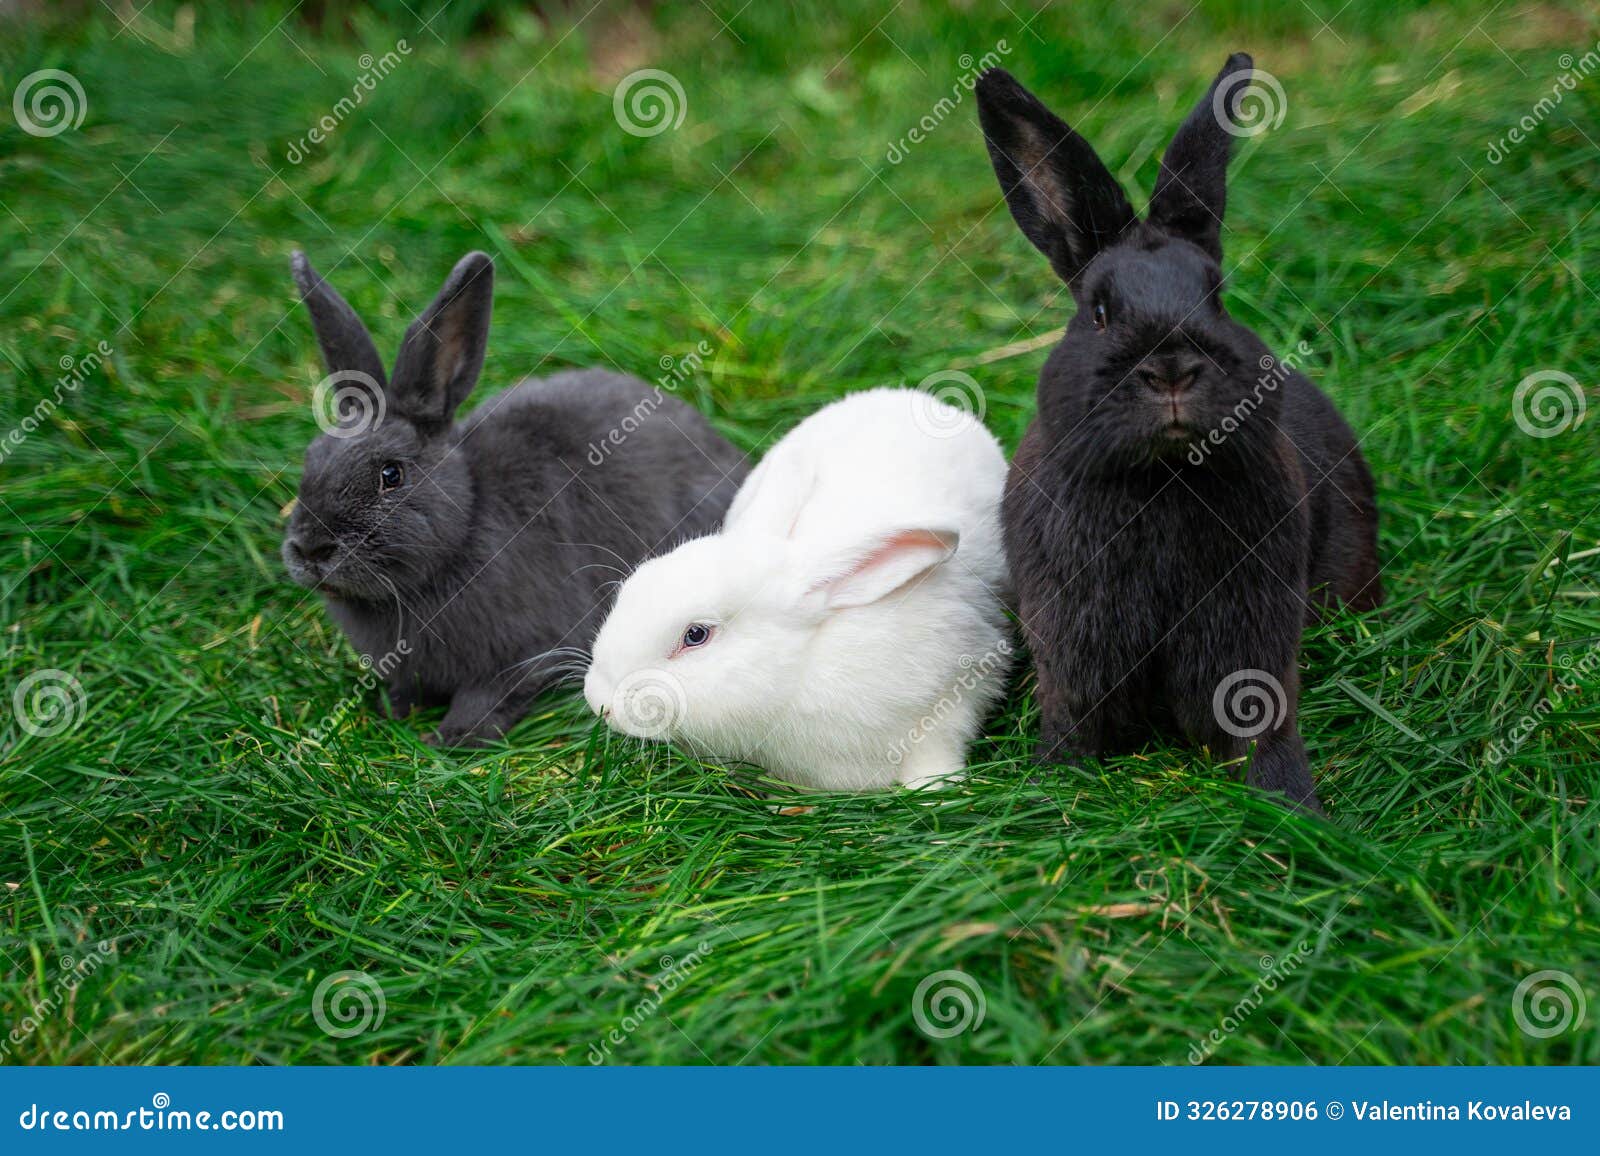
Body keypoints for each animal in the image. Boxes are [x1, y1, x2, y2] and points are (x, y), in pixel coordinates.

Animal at [281, 249, 749, 746]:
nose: (310, 548)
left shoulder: (521, 656)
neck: (462, 530)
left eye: (391, 474)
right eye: (311, 458)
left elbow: (486, 700)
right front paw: (392, 712)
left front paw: (449, 738)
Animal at [582, 388, 1014, 791]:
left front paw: (936, 792)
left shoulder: (958, 689)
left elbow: (938, 751)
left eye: (696, 635)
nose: (599, 701)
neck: (797, 672)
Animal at [974, 55, 1381, 812]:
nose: (1169, 367)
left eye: (1216, 296)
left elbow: (1260, 719)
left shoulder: (1248, 636)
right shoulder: (1075, 642)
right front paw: (1054, 786)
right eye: (1099, 312)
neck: (1161, 476)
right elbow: (1072, 716)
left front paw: (1296, 807)